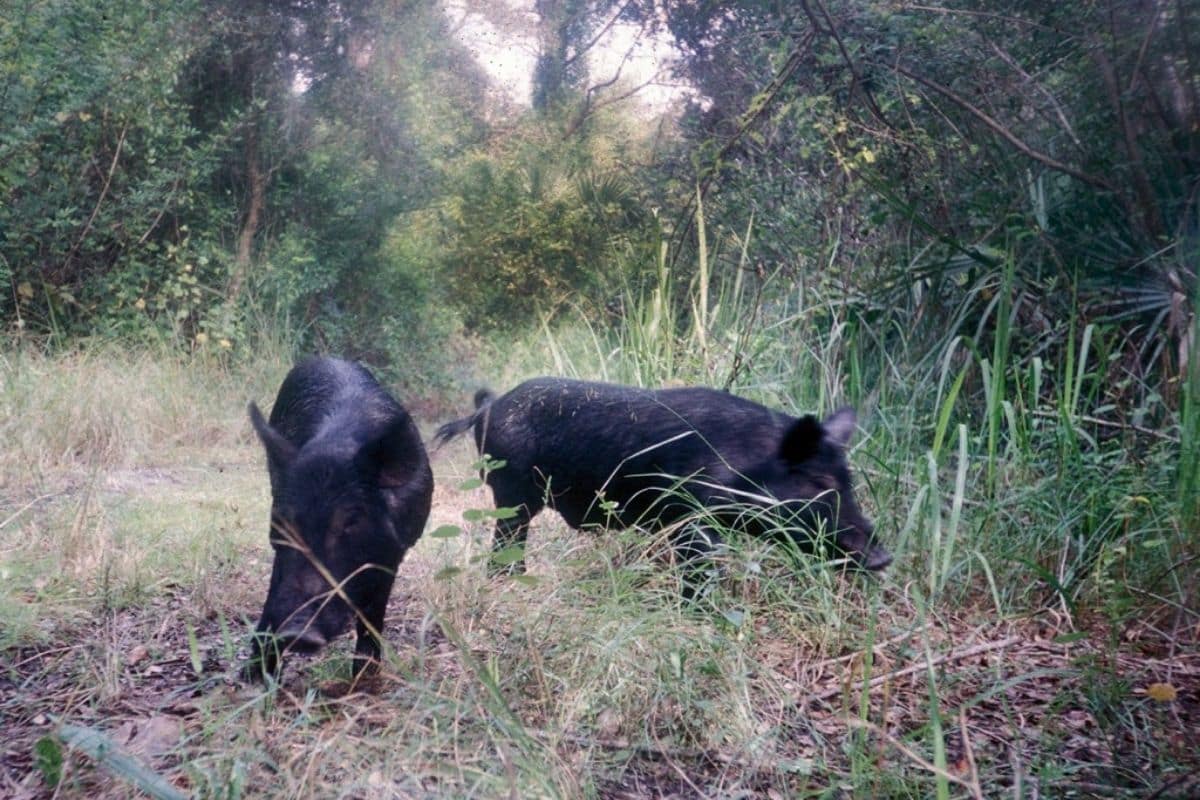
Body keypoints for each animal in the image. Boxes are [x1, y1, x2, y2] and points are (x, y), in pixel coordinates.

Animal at [243, 356, 433, 680]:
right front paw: (255, 674)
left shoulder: (393, 553)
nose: (298, 632)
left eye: (351, 520)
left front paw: (365, 676)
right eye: (284, 521)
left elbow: (373, 613)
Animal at [434, 378, 890, 591]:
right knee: (506, 542)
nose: (883, 557)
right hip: (512, 492)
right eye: (818, 482)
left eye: (848, 480)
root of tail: (489, 406)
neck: (743, 461)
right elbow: (699, 568)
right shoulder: (691, 515)